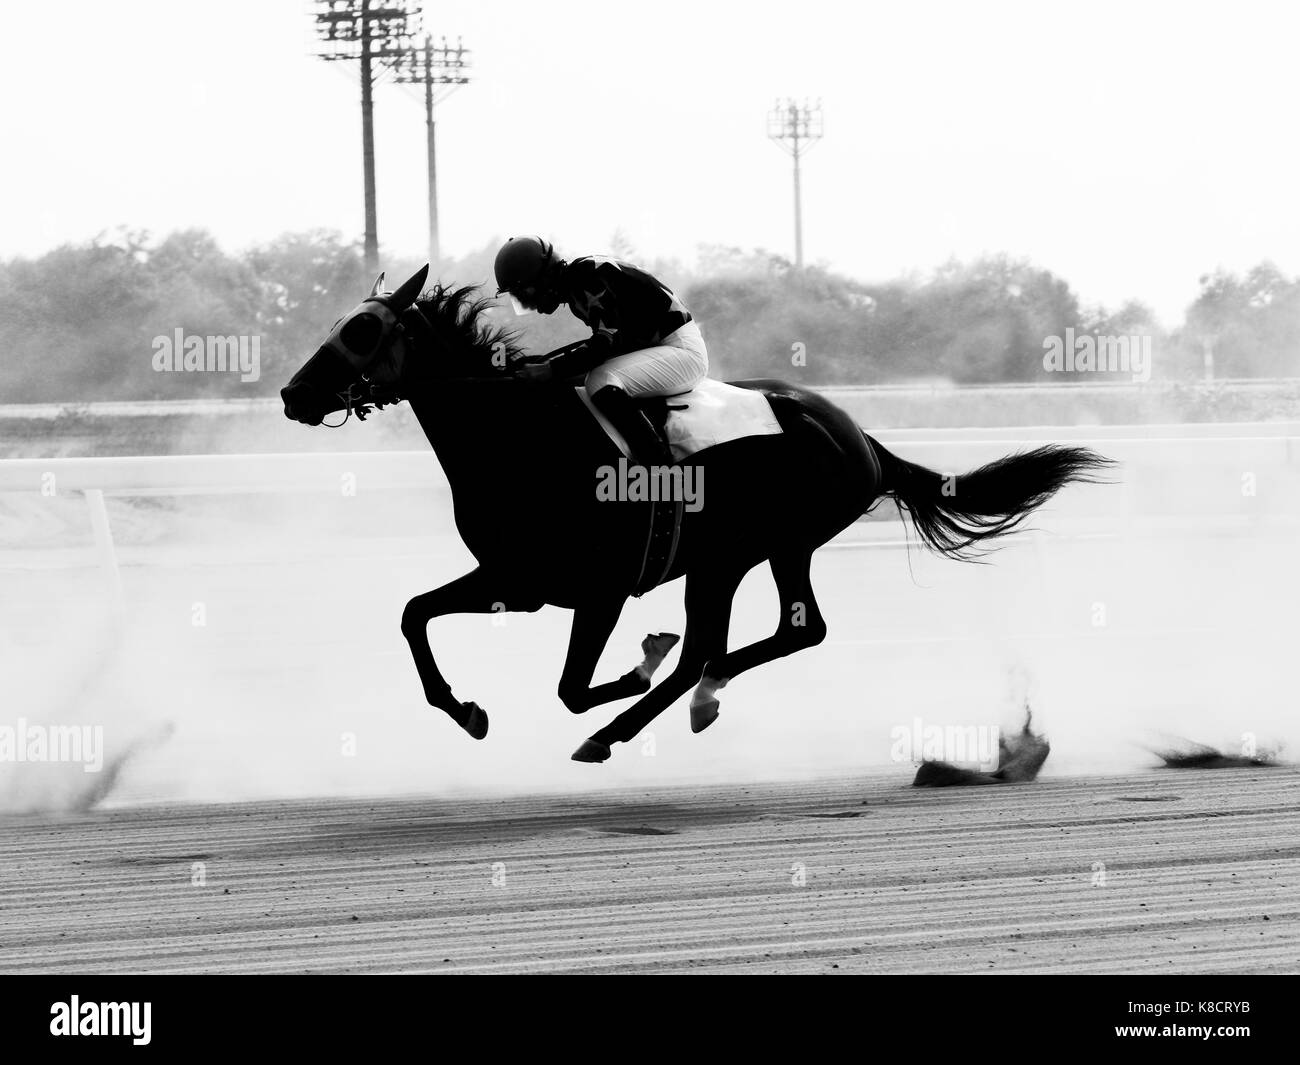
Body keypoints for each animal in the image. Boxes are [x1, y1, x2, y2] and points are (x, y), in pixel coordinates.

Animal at [280, 265, 1111, 764]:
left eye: (362, 330)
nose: (292, 394)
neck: (523, 438)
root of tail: (854, 432)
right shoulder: (516, 579)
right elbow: (414, 614)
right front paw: (466, 710)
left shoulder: (598, 588)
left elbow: (574, 685)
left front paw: (631, 667)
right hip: (735, 555)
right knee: (763, 636)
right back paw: (693, 696)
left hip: (765, 545)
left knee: (767, 636)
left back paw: (650, 711)